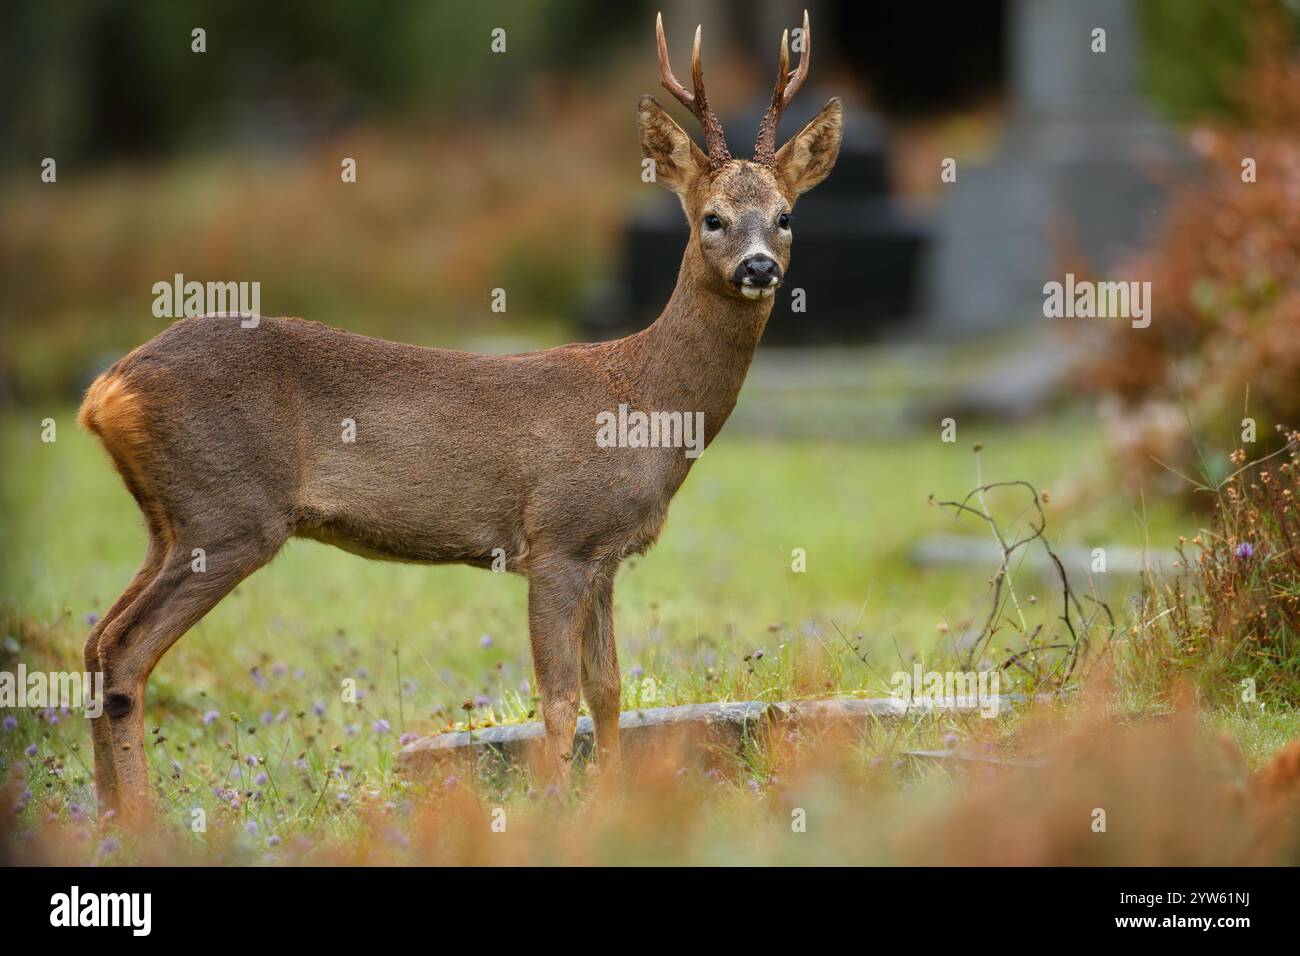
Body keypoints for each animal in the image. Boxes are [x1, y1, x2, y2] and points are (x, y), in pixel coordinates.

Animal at [77, 11, 842, 821]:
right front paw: (552, 812)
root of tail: (105, 390)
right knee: (124, 652)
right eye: (712, 219)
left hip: (171, 522)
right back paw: (139, 822)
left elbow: (608, 690)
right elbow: (558, 701)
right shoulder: (558, 536)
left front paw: (611, 808)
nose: (759, 267)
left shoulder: (603, 554)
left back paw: (107, 819)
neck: (645, 404)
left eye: (785, 216)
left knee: (96, 644)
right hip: (227, 512)